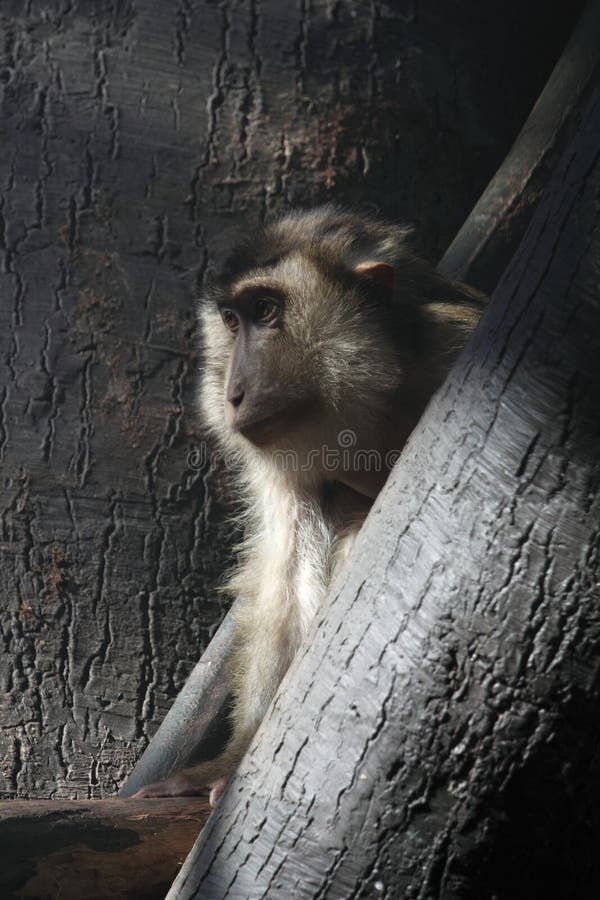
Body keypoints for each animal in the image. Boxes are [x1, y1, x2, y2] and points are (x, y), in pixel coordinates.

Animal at [134, 205, 485, 805]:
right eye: (232, 320)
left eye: (266, 310)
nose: (231, 392)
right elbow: (287, 566)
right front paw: (232, 760)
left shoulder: (461, 351)